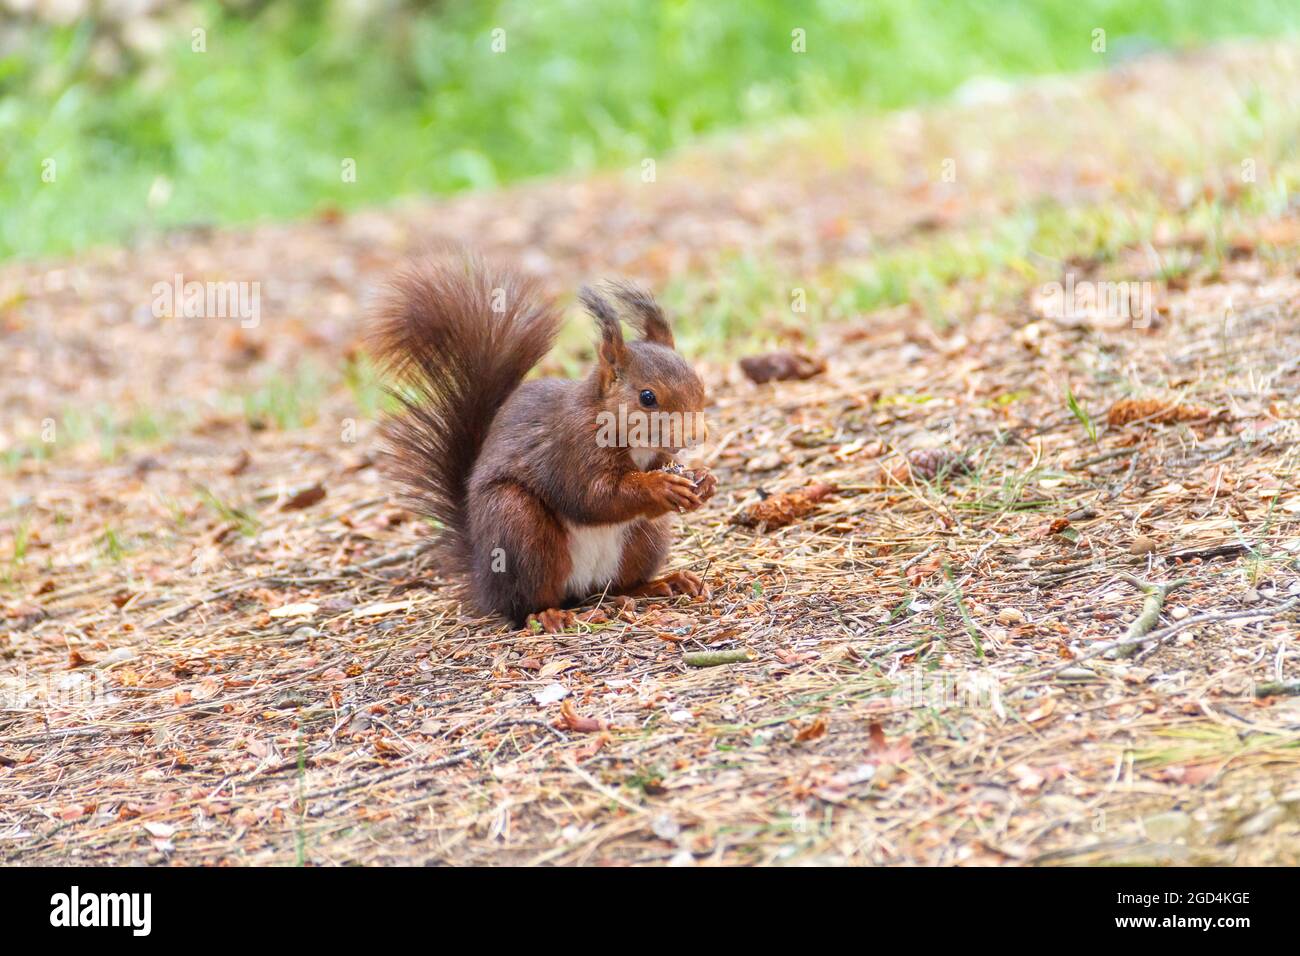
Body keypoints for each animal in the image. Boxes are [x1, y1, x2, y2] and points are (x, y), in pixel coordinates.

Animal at [368, 254, 717, 631]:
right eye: (647, 397)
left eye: (698, 382)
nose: (697, 435)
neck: (630, 439)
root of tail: (484, 581)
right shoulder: (572, 448)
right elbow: (594, 496)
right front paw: (661, 486)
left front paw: (704, 479)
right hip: (520, 529)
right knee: (525, 603)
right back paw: (547, 614)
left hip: (644, 541)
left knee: (620, 585)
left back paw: (661, 583)